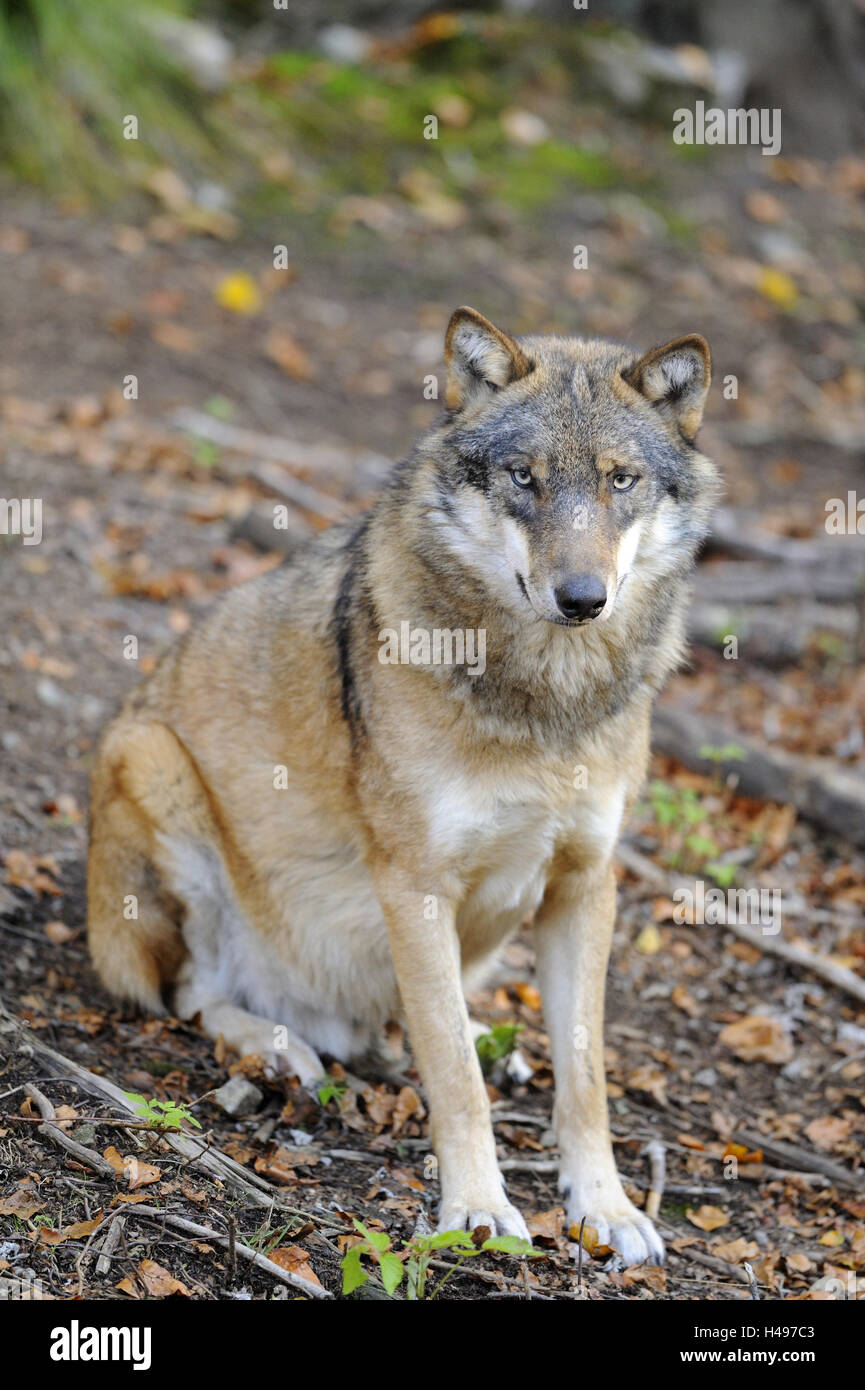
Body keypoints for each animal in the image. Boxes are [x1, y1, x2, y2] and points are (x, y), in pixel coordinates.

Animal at [88, 307, 718, 1265]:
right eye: (524, 478)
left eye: (621, 480)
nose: (582, 598)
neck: (544, 704)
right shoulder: (414, 884)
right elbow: (454, 1082)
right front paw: (477, 1212)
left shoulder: (585, 883)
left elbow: (585, 1077)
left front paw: (604, 1207)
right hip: (150, 761)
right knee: (193, 994)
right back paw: (280, 1049)